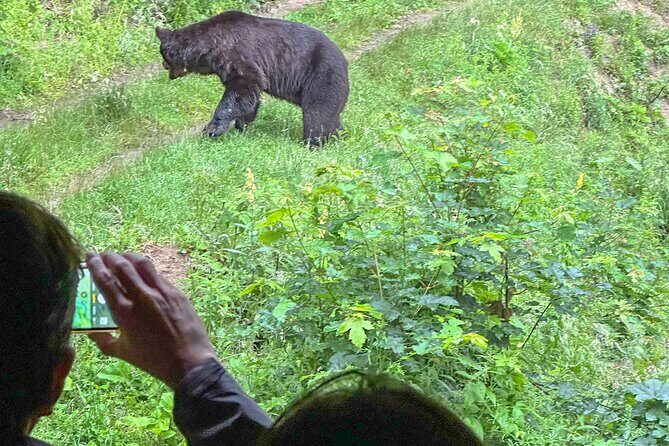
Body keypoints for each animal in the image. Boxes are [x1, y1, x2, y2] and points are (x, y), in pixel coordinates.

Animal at [155, 11, 350, 147]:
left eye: (164, 56)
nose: (164, 66)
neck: (209, 48)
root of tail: (345, 62)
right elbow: (247, 98)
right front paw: (241, 127)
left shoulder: (237, 55)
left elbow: (244, 86)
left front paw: (212, 129)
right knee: (331, 114)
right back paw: (340, 135)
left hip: (321, 76)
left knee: (317, 112)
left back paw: (314, 142)